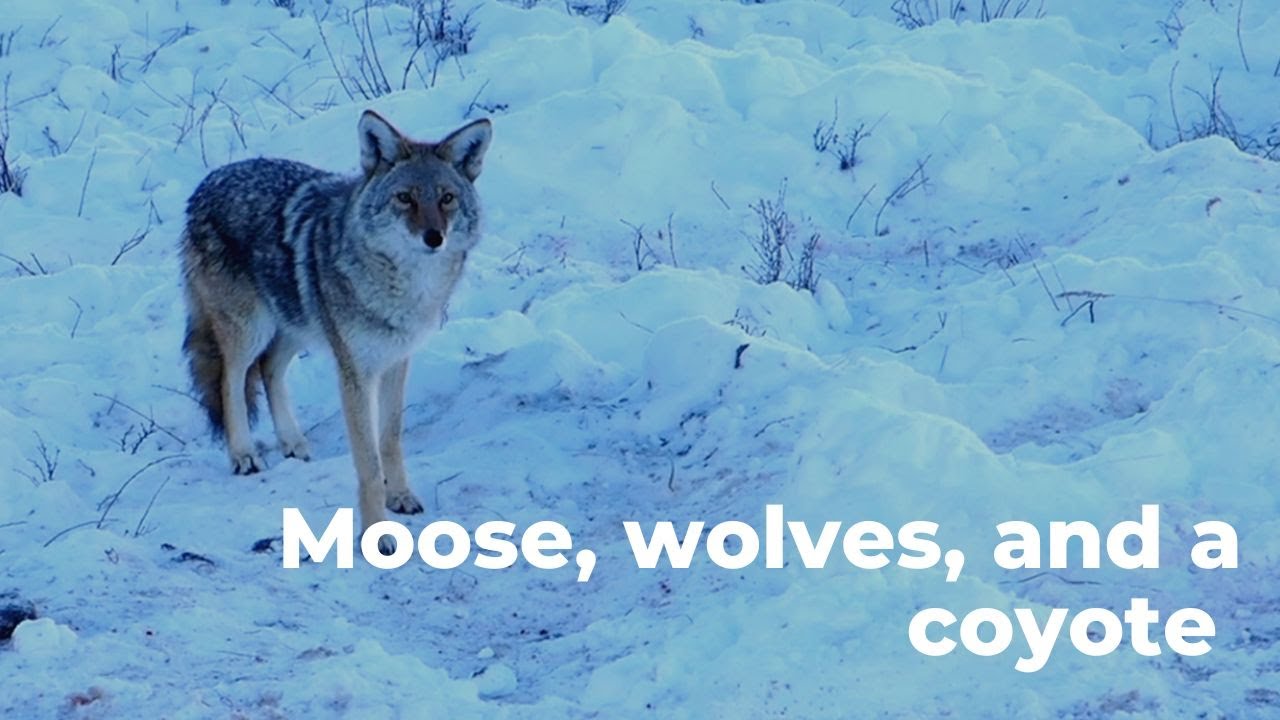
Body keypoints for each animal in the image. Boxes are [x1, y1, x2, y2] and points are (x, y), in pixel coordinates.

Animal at [180, 110, 491, 542]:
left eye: (446, 198)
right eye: (405, 198)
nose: (434, 238)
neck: (404, 288)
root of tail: (208, 181)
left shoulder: (397, 361)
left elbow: (390, 440)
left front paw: (401, 497)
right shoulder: (356, 373)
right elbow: (369, 464)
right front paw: (378, 534)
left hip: (296, 326)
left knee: (269, 369)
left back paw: (292, 441)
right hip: (251, 329)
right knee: (232, 379)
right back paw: (243, 454)